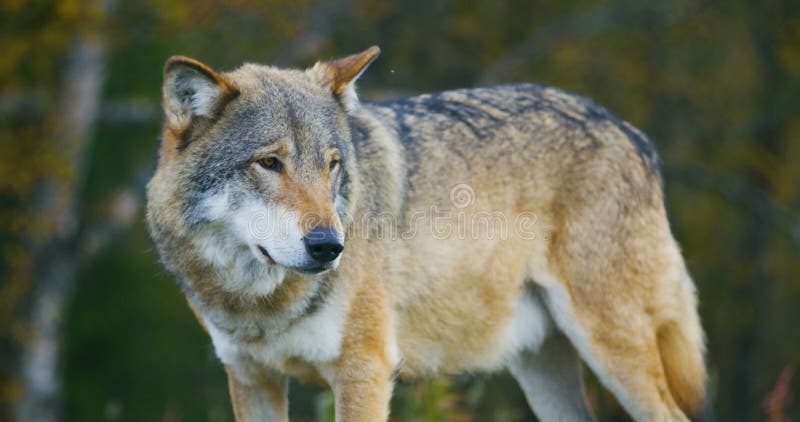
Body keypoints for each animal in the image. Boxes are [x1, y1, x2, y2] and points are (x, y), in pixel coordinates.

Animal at [146, 46, 707, 421]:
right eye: (269, 163)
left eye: (332, 165)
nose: (330, 246)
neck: (259, 304)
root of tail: (632, 134)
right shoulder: (251, 377)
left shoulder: (364, 370)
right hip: (543, 366)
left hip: (612, 349)